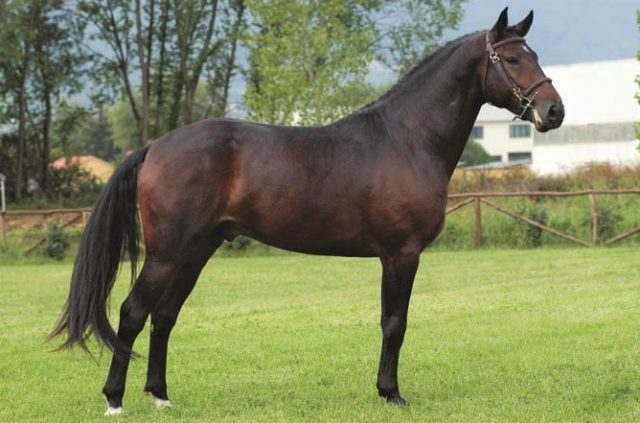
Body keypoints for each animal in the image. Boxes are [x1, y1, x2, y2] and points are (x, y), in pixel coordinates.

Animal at [50, 8, 564, 415]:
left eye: (536, 54)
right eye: (513, 59)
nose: (553, 111)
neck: (407, 138)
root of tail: (156, 145)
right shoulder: (401, 254)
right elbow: (394, 323)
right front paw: (390, 392)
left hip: (195, 252)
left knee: (165, 316)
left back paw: (160, 395)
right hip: (167, 254)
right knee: (134, 312)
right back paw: (114, 400)